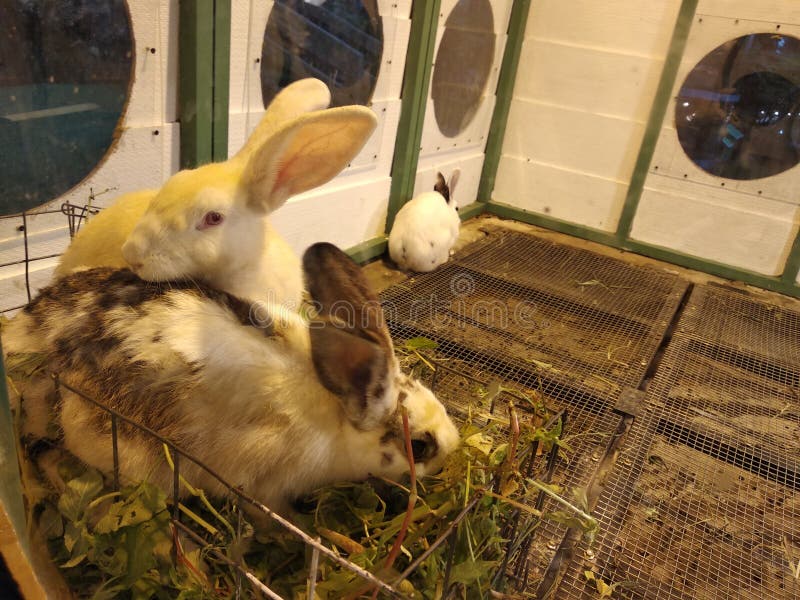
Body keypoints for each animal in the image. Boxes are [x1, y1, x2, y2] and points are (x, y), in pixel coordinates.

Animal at [3, 242, 460, 518]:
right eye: (420, 446)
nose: (452, 452)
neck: (332, 407)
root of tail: (26, 332)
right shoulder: (264, 488)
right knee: (49, 460)